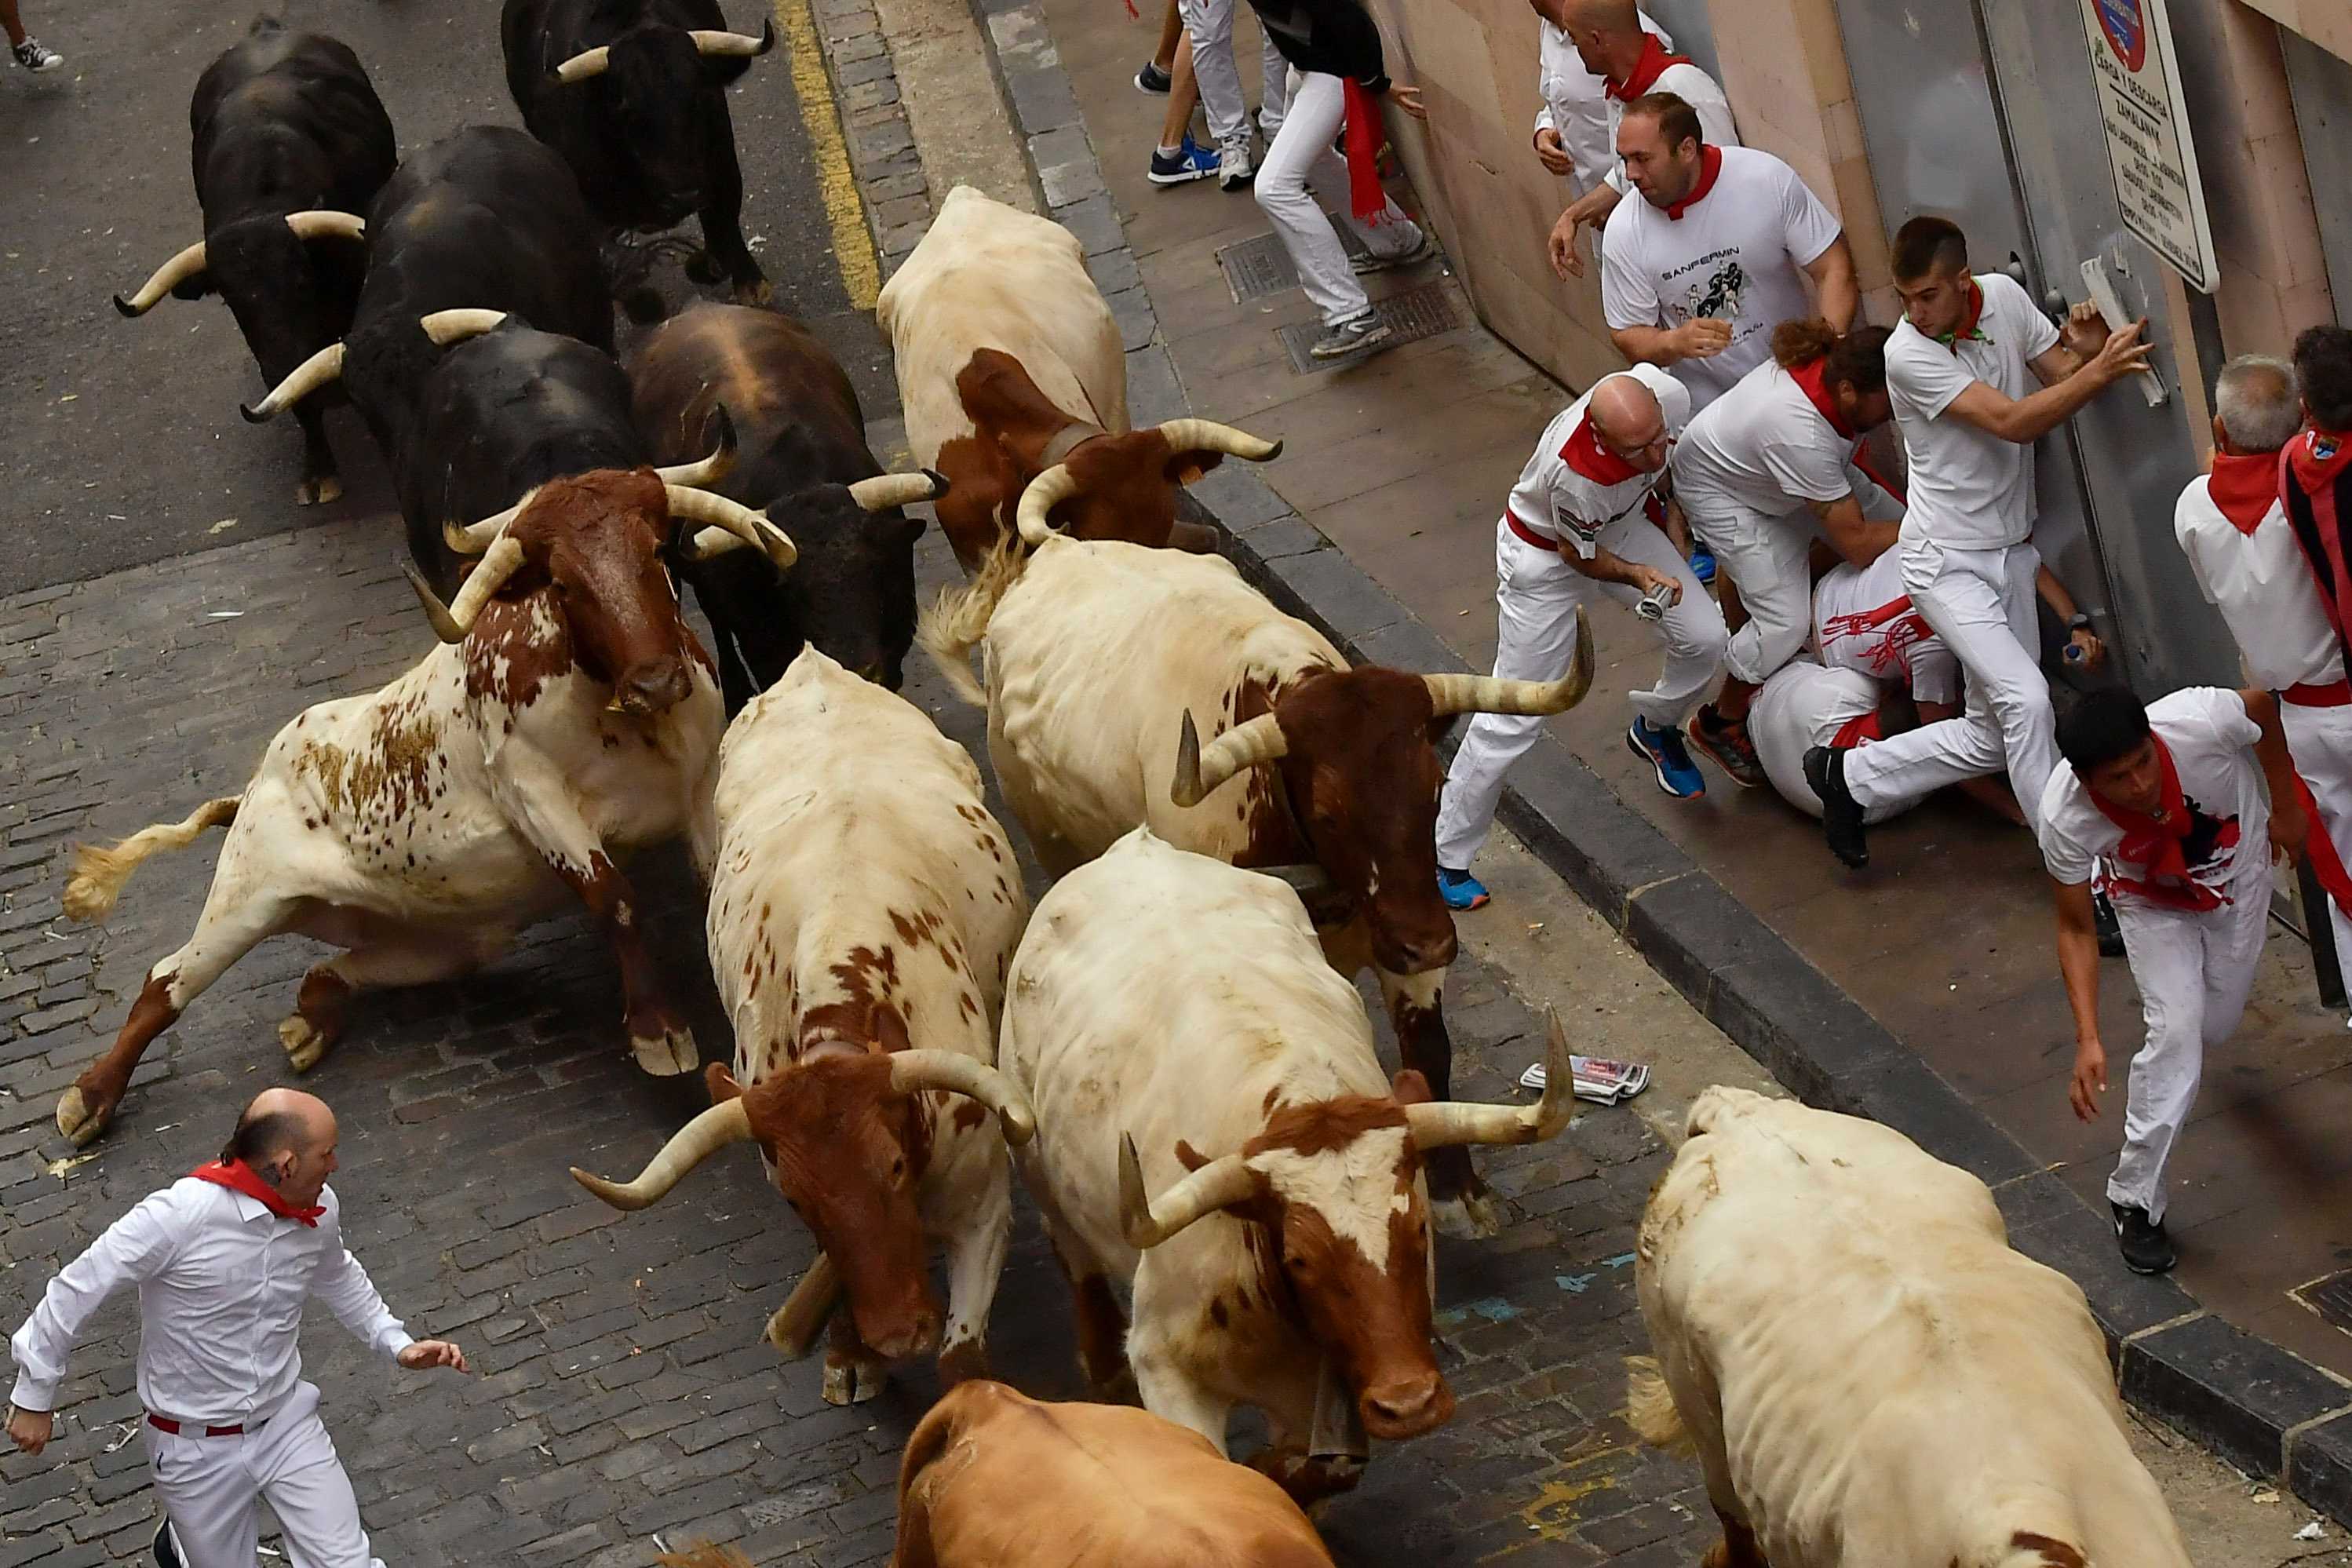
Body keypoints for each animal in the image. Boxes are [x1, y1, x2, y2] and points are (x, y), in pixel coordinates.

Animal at [49, 460, 792, 1148]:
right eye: (563, 582)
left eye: (658, 552)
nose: (655, 679)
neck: (632, 724)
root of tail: (257, 781)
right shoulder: (533, 795)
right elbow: (614, 897)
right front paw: (658, 1032)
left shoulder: (702, 786)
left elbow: (711, 890)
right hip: (247, 899)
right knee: (164, 983)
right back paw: (89, 1098)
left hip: (441, 944)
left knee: (333, 970)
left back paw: (310, 1020)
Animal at [502, 0, 777, 308]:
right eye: (627, 109)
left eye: (700, 96)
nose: (684, 195)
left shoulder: (721, 166)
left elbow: (724, 225)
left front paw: (744, 281)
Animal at [569, 648, 1034, 1405]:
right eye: (796, 1200)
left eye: (895, 1165)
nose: (898, 1333)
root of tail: (813, 664)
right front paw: (847, 1351)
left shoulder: (982, 1205)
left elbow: (963, 1361)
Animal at [920, 518, 1593, 1237]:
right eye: (1328, 813)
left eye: (1435, 788)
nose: (1432, 943)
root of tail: (1056, 549)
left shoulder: (1404, 924)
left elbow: (1430, 1050)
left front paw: (1456, 1192)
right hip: (1048, 836)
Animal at [1000, 827, 1575, 1506]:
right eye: (1299, 1258)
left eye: (1417, 1230)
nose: (1410, 1404)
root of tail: (1135, 847)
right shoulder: (1165, 1366)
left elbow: (1320, 1468)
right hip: (1032, 1155)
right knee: (1072, 1249)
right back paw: (1103, 1368)